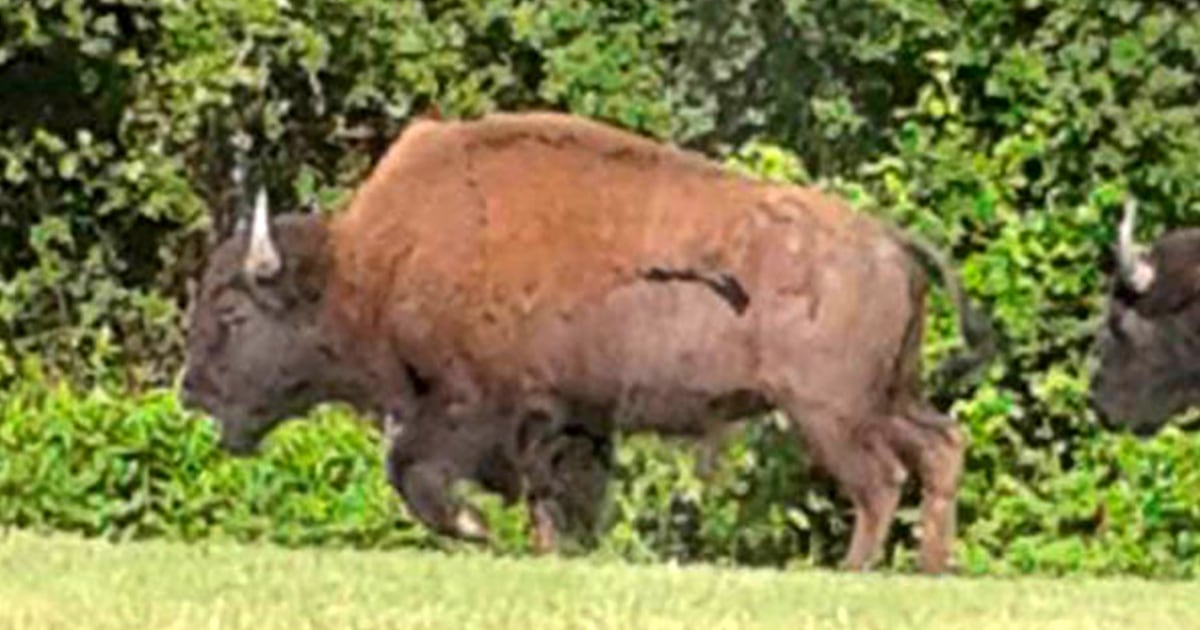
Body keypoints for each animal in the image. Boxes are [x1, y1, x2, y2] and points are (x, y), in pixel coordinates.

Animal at [180, 111, 995, 573]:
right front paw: (554, 551)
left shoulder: (480, 408)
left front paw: (478, 529)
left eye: (233, 311)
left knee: (882, 478)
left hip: (830, 411)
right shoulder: (568, 420)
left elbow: (414, 472)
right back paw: (931, 567)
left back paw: (857, 569)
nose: (191, 392)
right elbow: (554, 495)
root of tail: (887, 238)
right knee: (940, 447)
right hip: (889, 395)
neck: (376, 262)